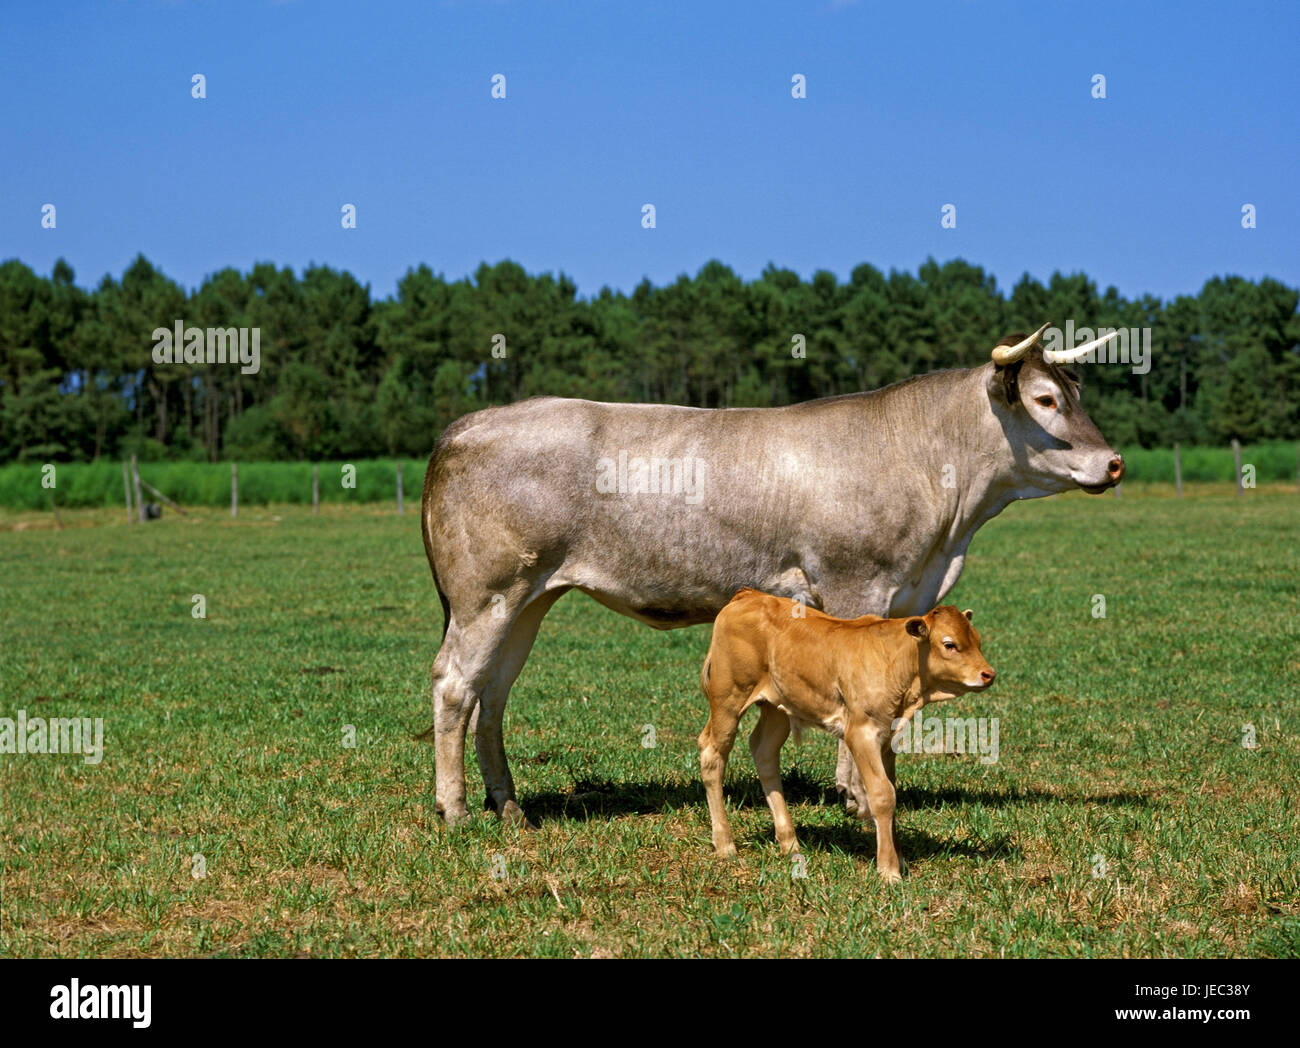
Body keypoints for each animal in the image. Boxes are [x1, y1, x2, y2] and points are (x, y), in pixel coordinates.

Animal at [420, 322, 1124, 828]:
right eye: (1044, 399)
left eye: (1078, 396)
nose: (1114, 462)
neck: (948, 528)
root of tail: (466, 425)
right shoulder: (855, 584)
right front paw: (859, 798)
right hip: (487, 594)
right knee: (456, 685)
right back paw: (456, 811)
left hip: (528, 599)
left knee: (493, 693)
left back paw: (511, 808)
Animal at [698, 589, 995, 882]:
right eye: (949, 644)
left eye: (977, 640)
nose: (988, 674)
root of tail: (747, 595)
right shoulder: (861, 733)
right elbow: (882, 794)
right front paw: (889, 869)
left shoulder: (888, 737)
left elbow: (891, 789)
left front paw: (898, 857)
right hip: (729, 697)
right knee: (713, 754)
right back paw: (725, 844)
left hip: (777, 707)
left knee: (764, 753)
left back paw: (790, 843)